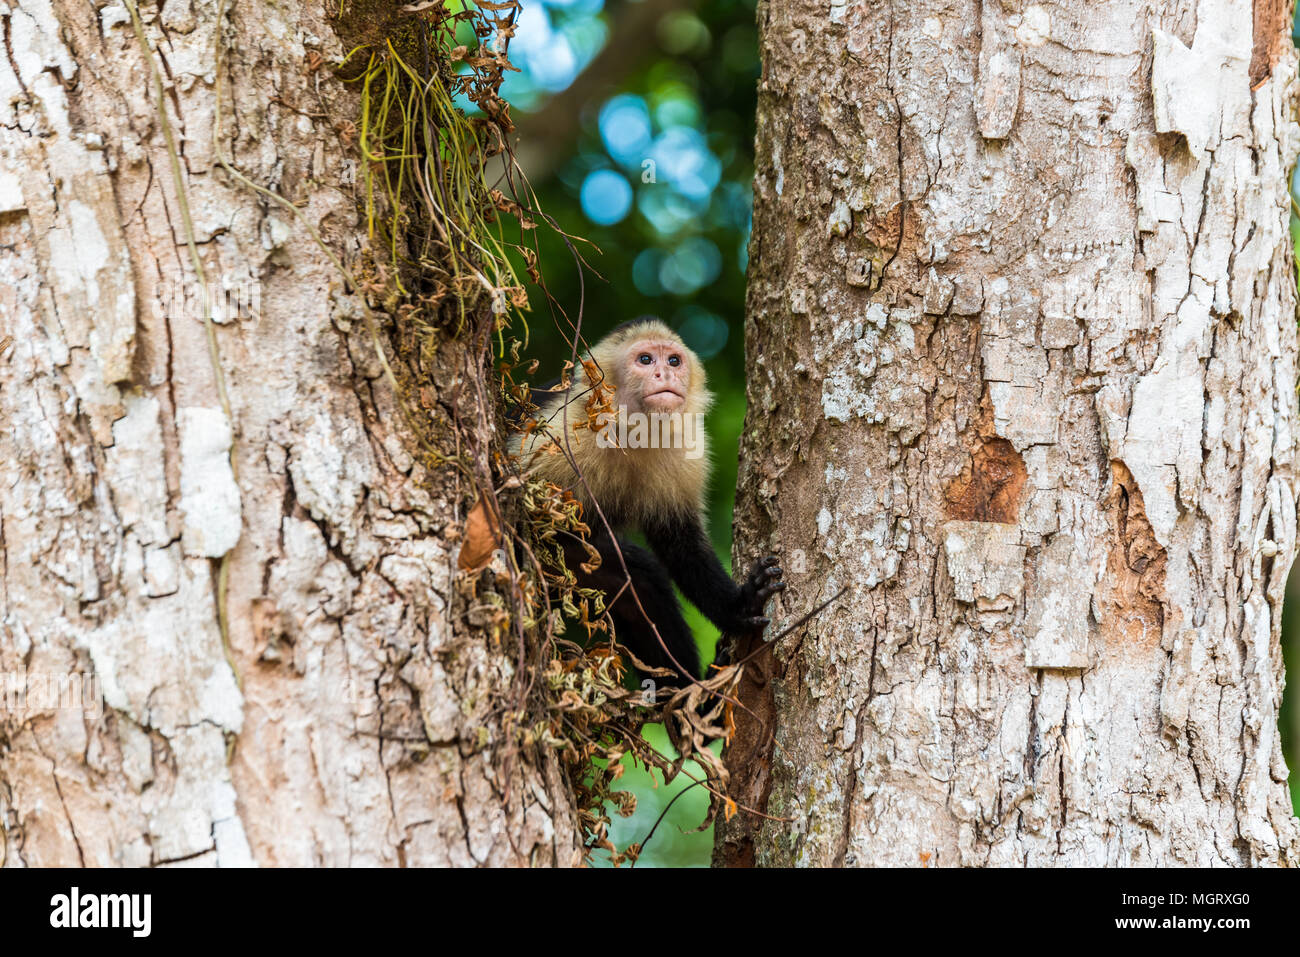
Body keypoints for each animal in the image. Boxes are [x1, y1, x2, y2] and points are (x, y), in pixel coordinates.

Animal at [515, 316, 785, 690]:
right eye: (645, 360)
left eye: (673, 360)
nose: (665, 374)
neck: (631, 430)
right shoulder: (556, 432)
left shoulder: (688, 448)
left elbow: (680, 542)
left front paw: (740, 607)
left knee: (642, 587)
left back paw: (691, 698)